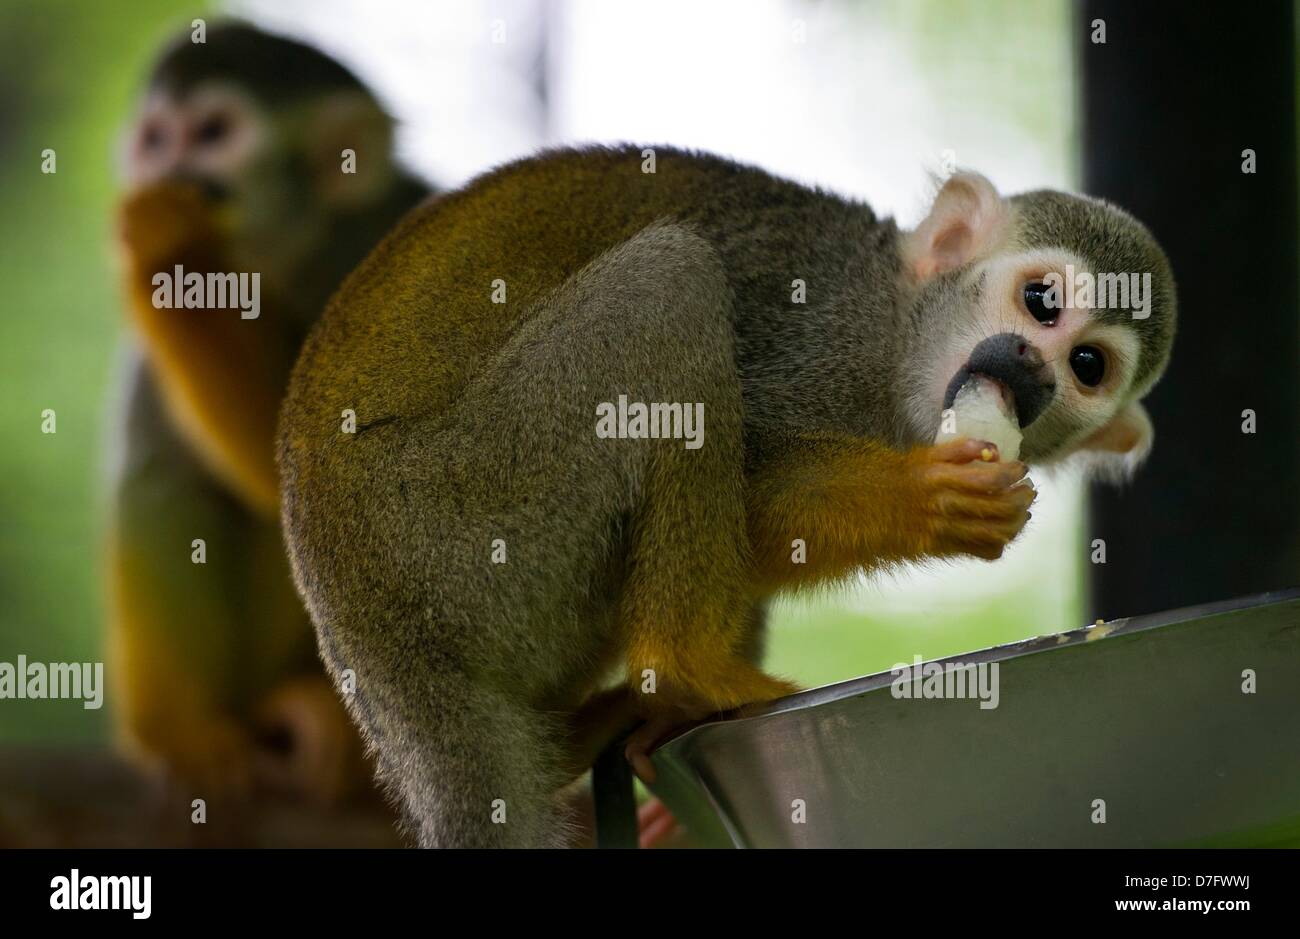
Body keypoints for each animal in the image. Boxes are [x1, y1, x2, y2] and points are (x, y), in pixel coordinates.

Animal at [108, 21, 430, 804]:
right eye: (156, 139)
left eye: (213, 133)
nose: (171, 169)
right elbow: (165, 483)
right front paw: (181, 738)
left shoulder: (403, 237)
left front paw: (177, 243)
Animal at [276, 145, 1176, 846]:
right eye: (1041, 301)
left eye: (1087, 366)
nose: (1029, 369)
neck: (895, 337)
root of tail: (366, 626)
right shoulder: (825, 336)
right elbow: (754, 492)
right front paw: (930, 503)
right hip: (462, 507)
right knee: (670, 283)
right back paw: (688, 666)